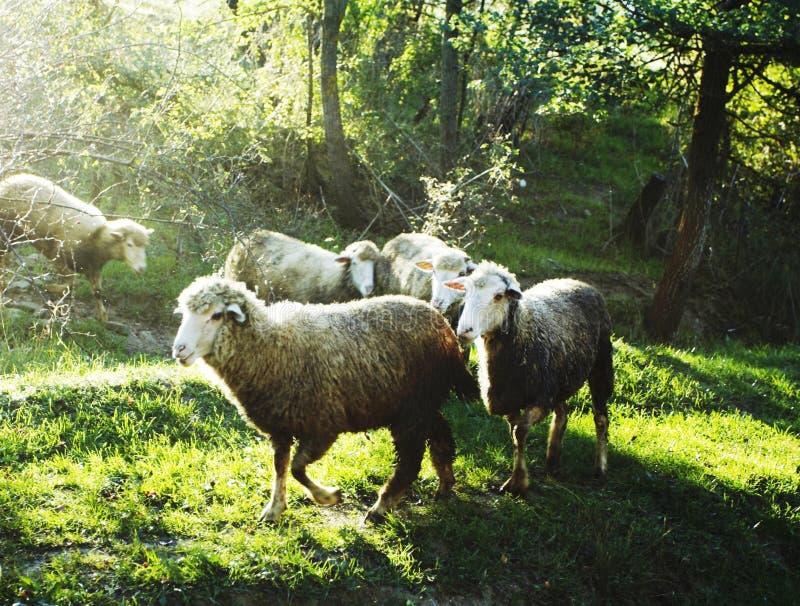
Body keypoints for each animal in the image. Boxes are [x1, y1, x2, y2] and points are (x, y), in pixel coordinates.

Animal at [0, 173, 153, 322]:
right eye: (129, 244)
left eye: (145, 246)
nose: (141, 269)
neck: (97, 237)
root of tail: (8, 180)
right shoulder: (57, 256)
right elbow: (72, 282)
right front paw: (53, 288)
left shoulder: (94, 268)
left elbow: (97, 292)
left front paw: (103, 316)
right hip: (8, 230)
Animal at [172, 275, 478, 523]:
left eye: (216, 315)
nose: (179, 349)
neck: (270, 347)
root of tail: (442, 324)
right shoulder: (279, 426)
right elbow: (281, 467)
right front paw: (274, 509)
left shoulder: (323, 425)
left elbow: (296, 468)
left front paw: (328, 496)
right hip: (420, 403)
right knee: (441, 435)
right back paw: (445, 484)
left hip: (412, 409)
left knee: (411, 460)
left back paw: (381, 507)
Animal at [445, 261, 613, 495]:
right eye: (466, 292)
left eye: (499, 296)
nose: (464, 331)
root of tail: (579, 282)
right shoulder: (510, 399)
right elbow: (515, 435)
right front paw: (516, 479)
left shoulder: (539, 400)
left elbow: (521, 432)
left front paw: (519, 482)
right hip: (559, 379)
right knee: (562, 414)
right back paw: (552, 462)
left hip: (601, 364)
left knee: (601, 418)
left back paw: (601, 468)